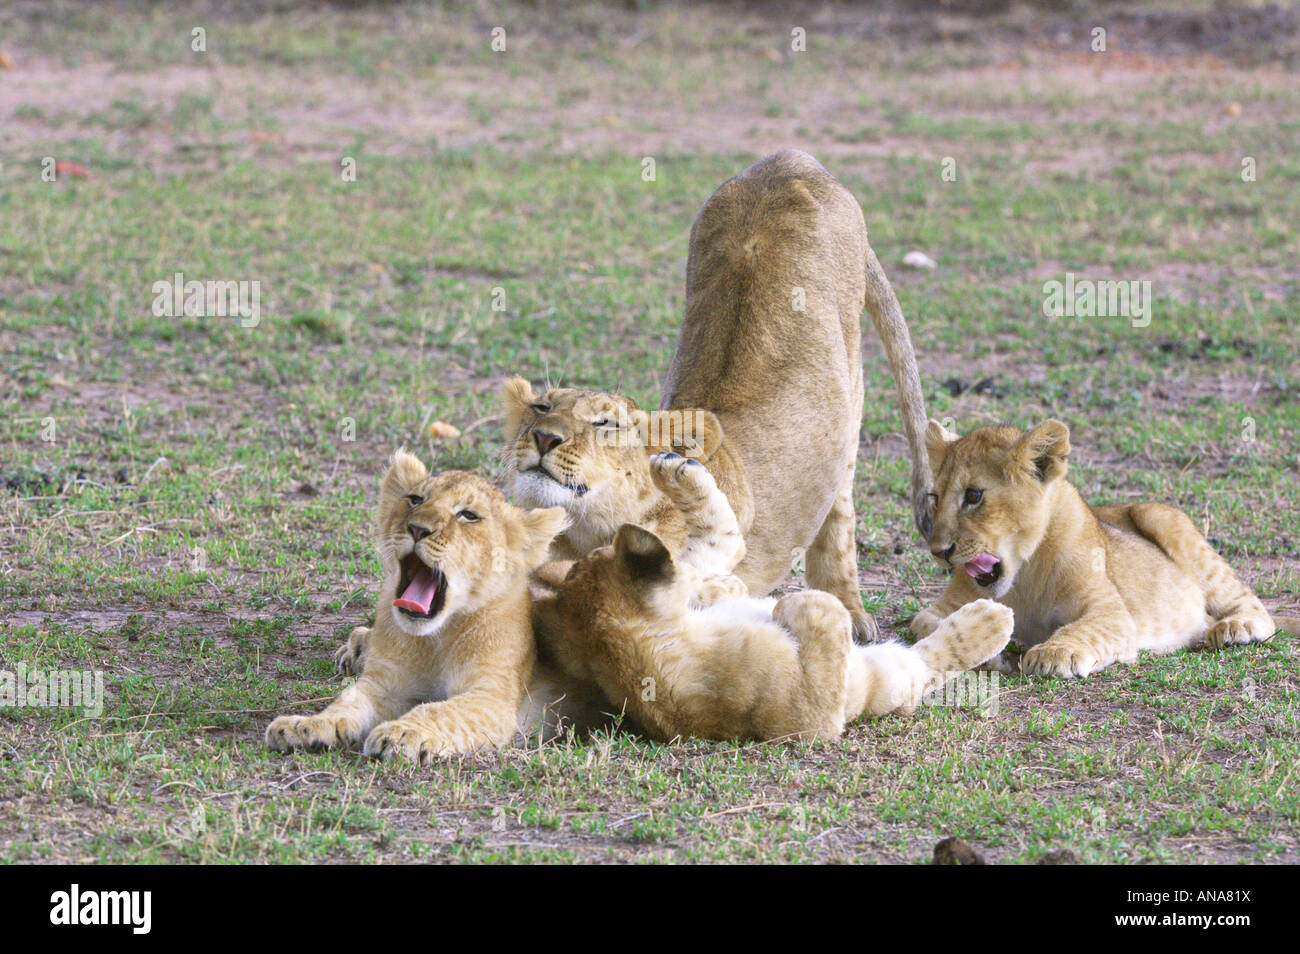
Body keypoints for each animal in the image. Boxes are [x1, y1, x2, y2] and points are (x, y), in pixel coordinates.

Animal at [266, 452, 606, 762]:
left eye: (468, 515)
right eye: (415, 499)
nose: (417, 529)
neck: (434, 639)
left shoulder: (490, 697)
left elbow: (438, 710)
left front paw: (401, 732)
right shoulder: (383, 684)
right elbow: (346, 703)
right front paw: (304, 726)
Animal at [506, 149, 933, 641]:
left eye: (605, 423)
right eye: (540, 407)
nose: (543, 437)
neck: (582, 535)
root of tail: (791, 158)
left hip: (852, 388)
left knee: (839, 513)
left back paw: (848, 609)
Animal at [532, 451, 1013, 742]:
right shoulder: (808, 721)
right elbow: (822, 624)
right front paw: (799, 606)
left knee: (722, 543)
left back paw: (676, 468)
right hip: (886, 676)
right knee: (931, 658)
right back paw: (991, 619)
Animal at [911, 419, 1300, 678]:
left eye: (974, 495)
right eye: (935, 497)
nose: (938, 550)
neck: (1022, 577)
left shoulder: (1110, 612)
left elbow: (1083, 629)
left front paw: (1054, 653)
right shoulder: (945, 606)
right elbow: (925, 625)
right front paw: (987, 649)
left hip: (1159, 515)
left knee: (1256, 608)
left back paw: (1234, 629)